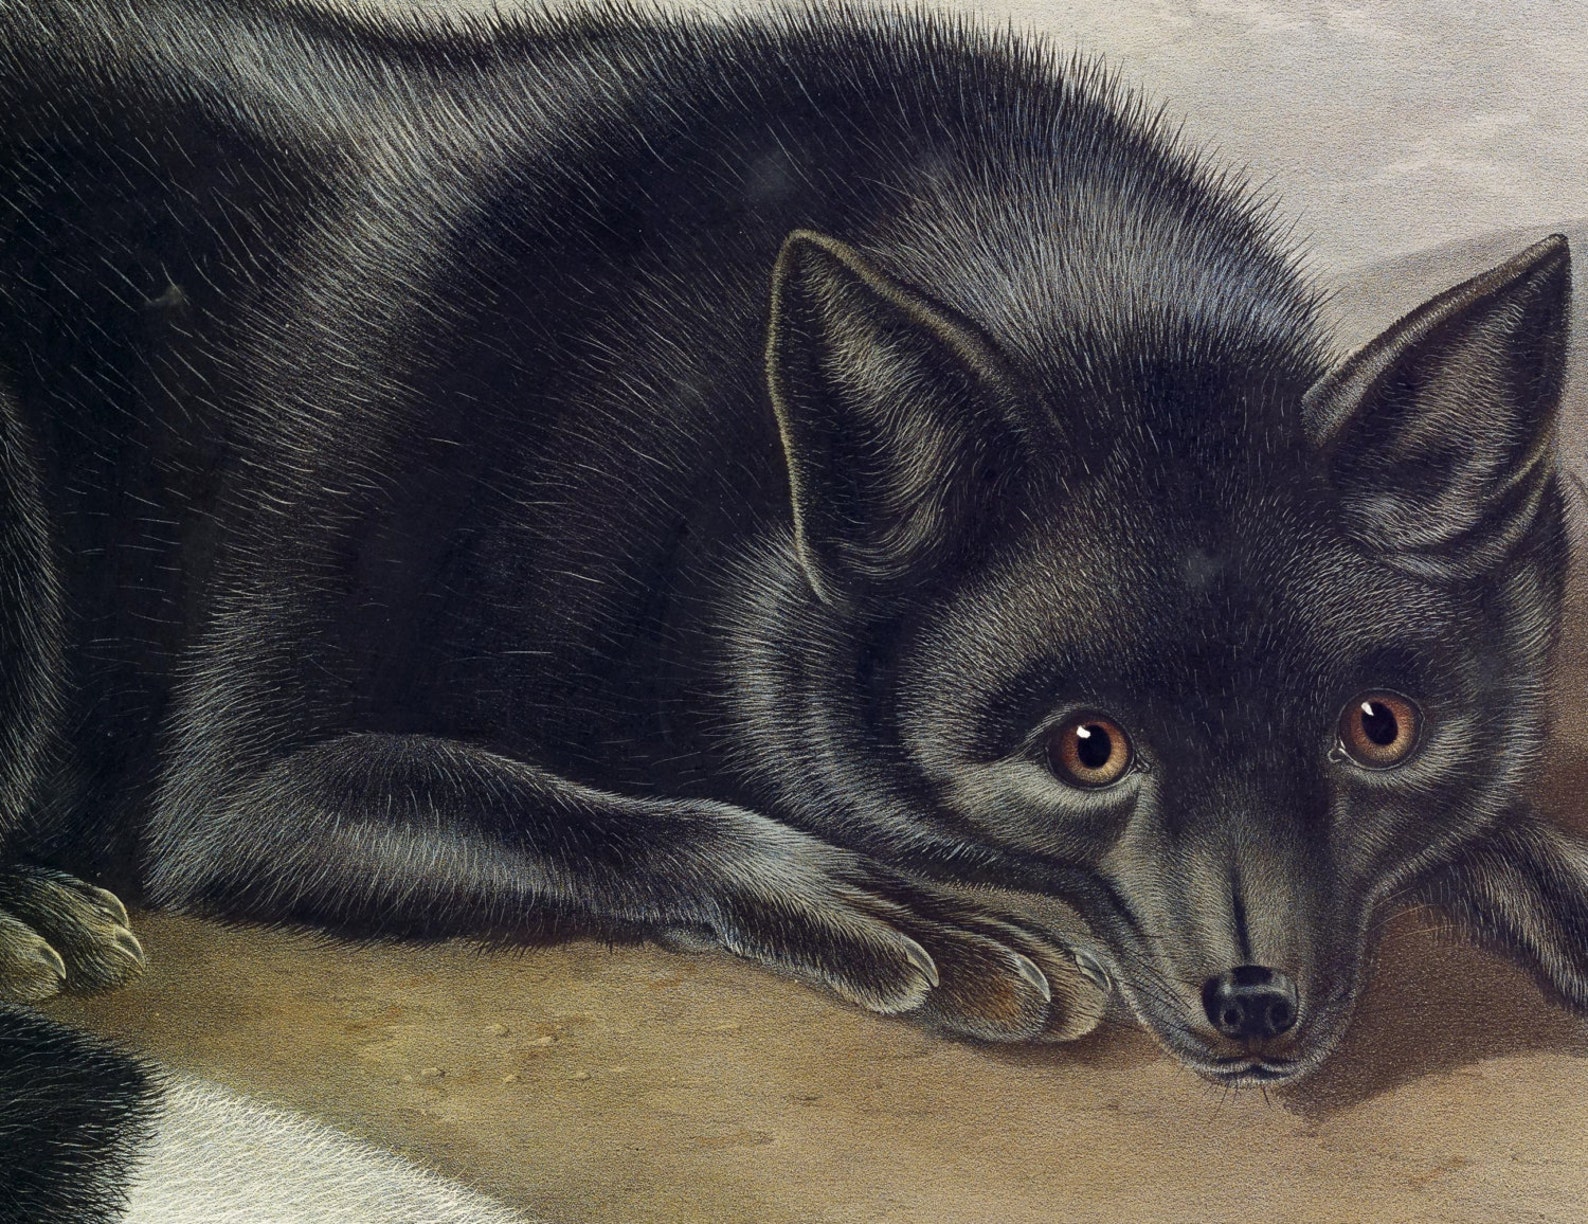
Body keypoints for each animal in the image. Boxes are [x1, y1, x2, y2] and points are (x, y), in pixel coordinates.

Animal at [0, 0, 1583, 1217]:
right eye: (1088, 750)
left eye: (1379, 730)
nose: (1256, 1009)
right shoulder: (253, 798)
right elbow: (608, 817)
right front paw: (894, 908)